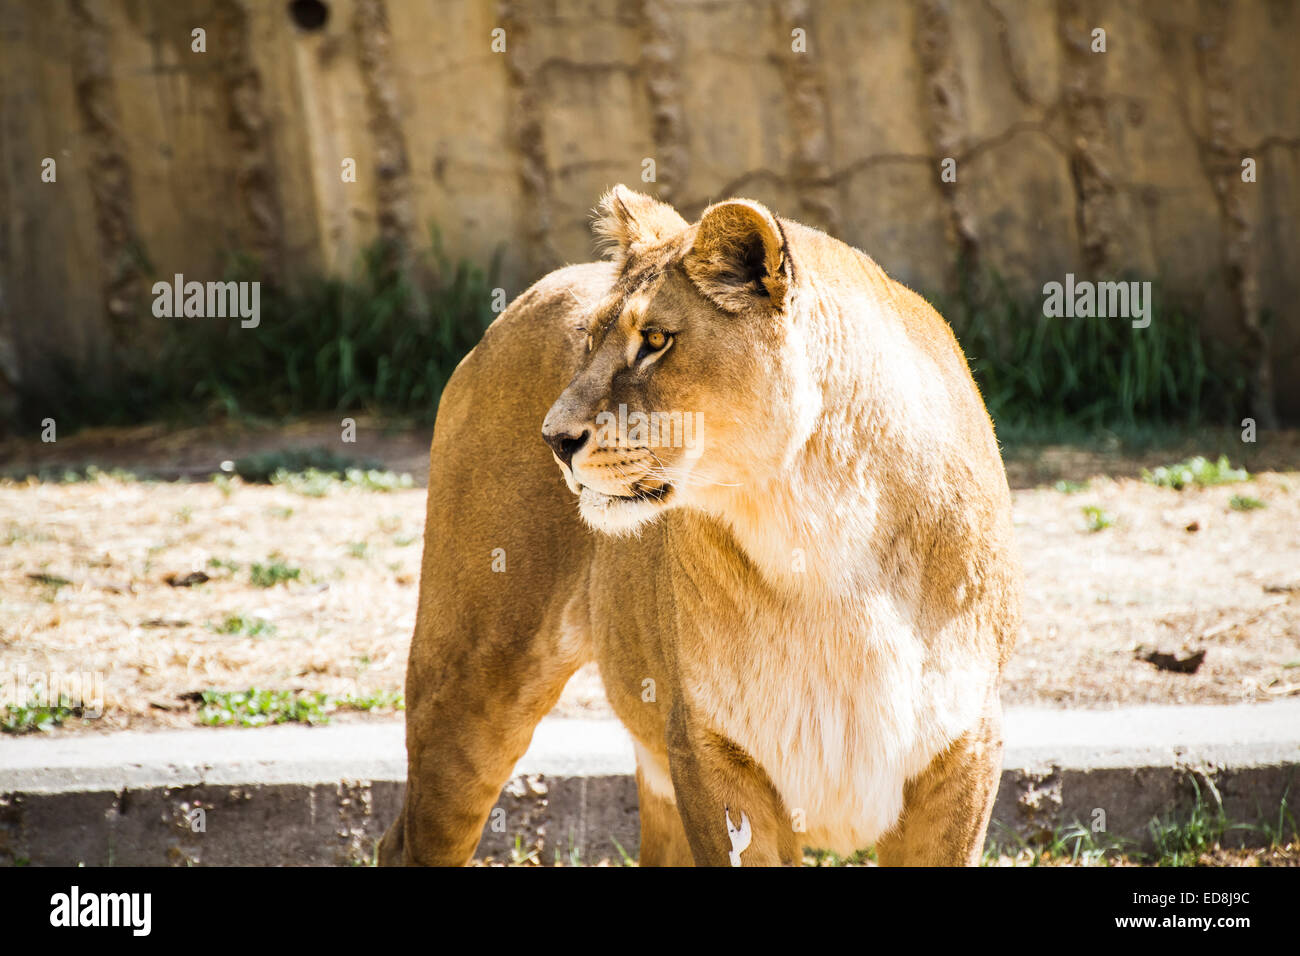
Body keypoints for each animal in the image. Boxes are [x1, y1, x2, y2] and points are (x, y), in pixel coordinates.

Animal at [379, 185, 1021, 866]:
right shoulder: (711, 749)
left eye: (656, 339)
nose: (553, 439)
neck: (819, 533)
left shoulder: (964, 750)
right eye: (589, 341)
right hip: (474, 678)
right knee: (407, 840)